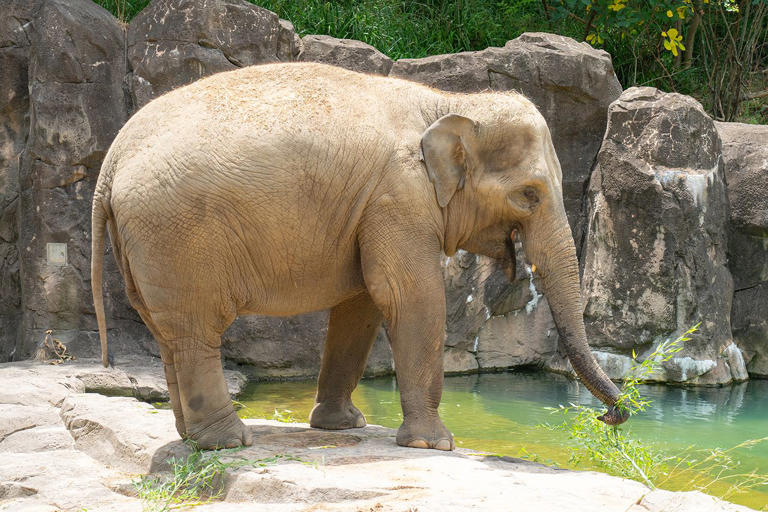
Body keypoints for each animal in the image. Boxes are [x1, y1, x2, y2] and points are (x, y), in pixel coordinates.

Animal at [91, 62, 627, 451]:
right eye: (529, 195)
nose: (611, 416)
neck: (449, 102)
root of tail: (110, 163)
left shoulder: (372, 208)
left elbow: (362, 303)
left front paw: (343, 426)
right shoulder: (398, 196)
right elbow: (411, 296)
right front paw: (436, 446)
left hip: (148, 243)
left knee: (168, 332)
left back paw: (192, 437)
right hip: (177, 234)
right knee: (197, 329)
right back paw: (228, 443)